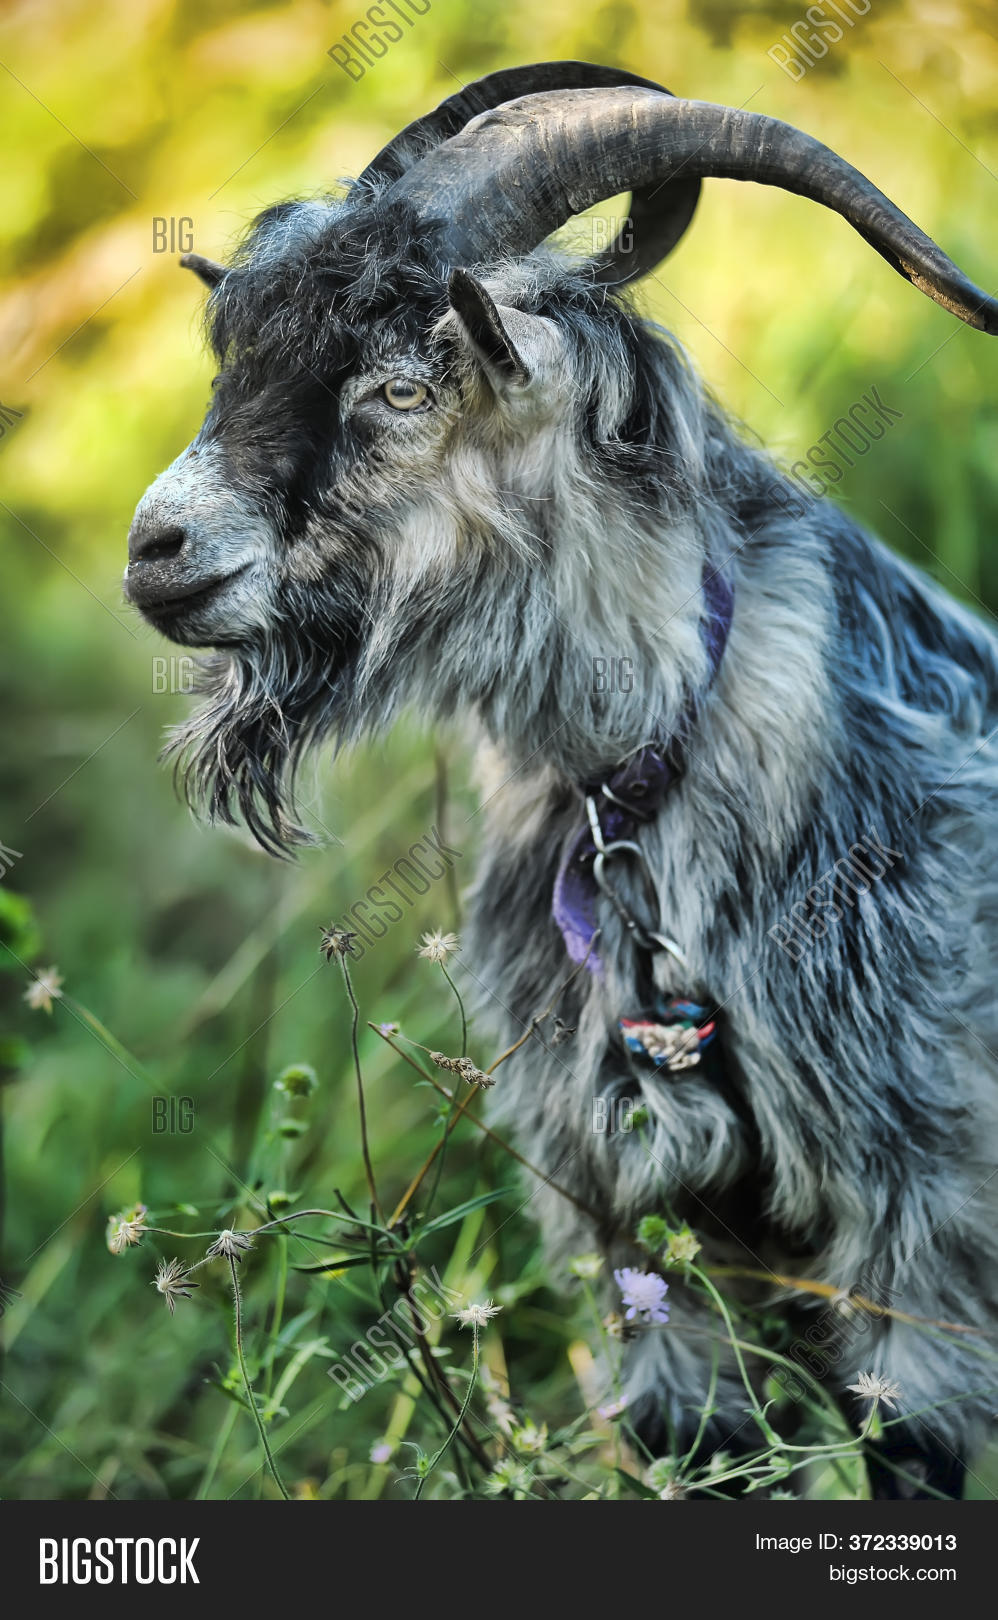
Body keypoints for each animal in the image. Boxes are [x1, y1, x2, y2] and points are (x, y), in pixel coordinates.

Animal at [126, 62, 998, 1498]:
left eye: (403, 389)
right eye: (234, 354)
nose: (157, 552)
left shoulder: (918, 1209)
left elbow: (907, 1446)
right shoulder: (635, 1226)